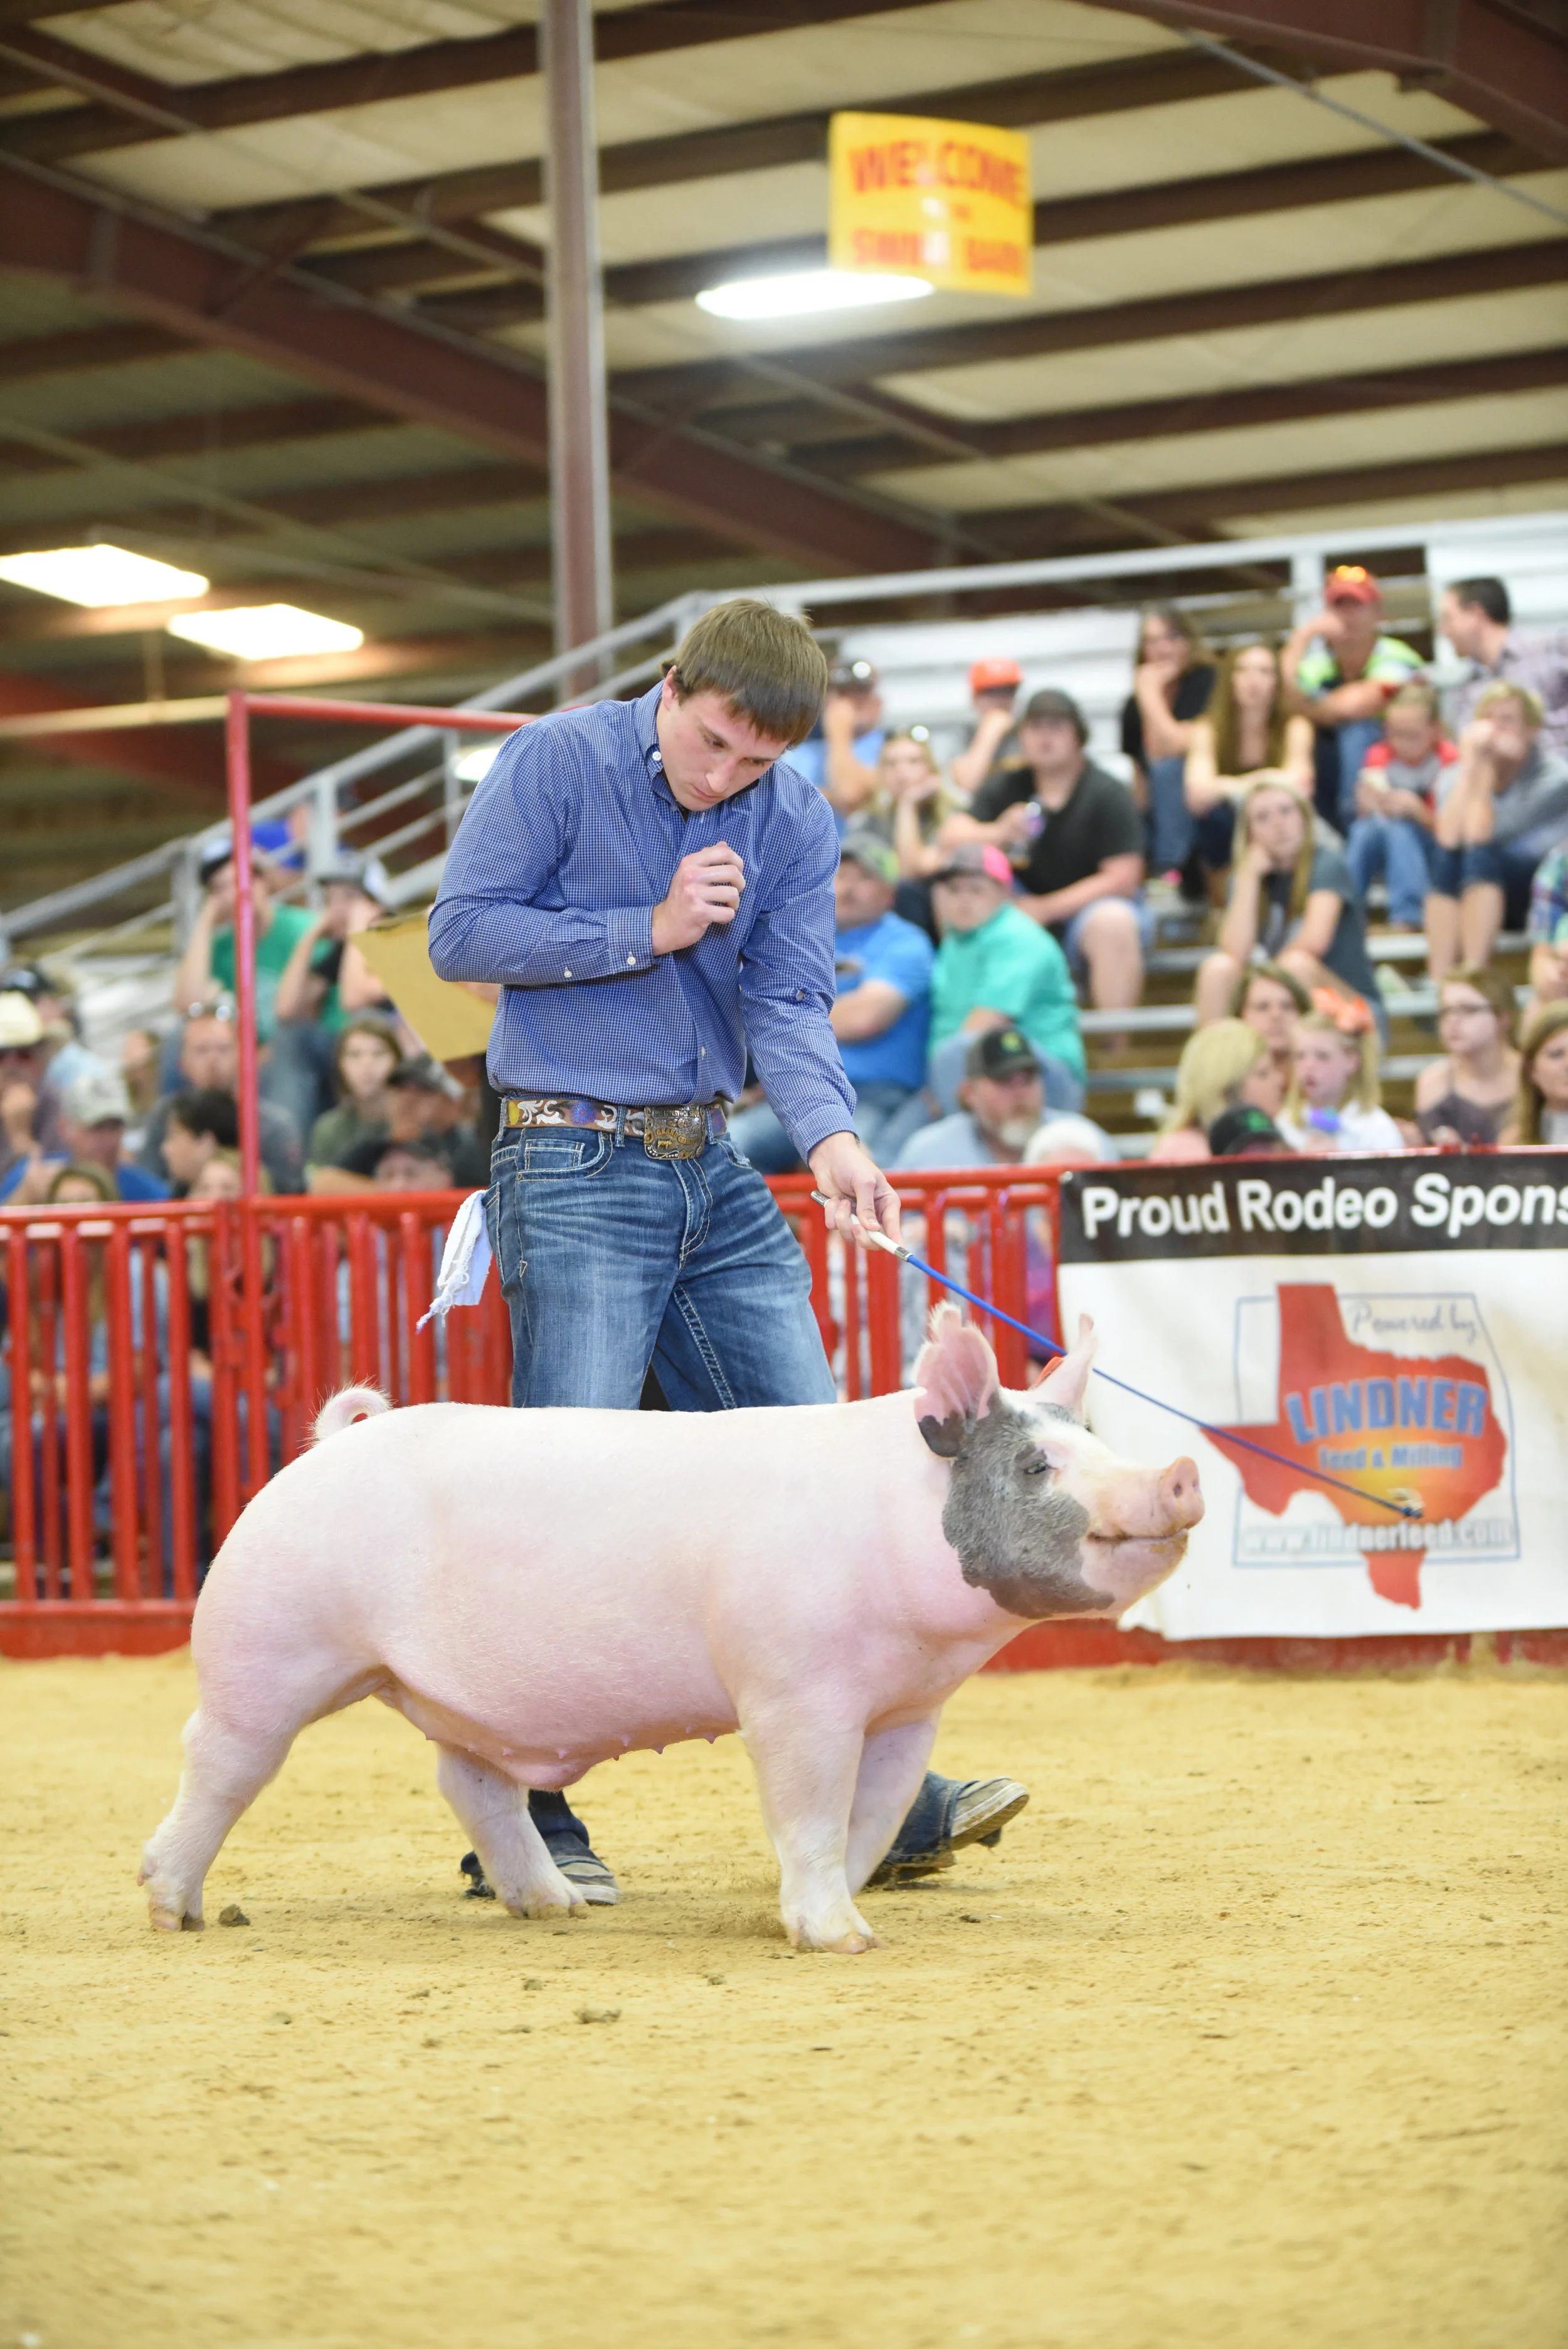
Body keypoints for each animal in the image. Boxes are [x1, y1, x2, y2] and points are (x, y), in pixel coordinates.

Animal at [140, 1307, 1200, 1955]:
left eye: (1096, 1440)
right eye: (1035, 1464)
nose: (1180, 1472)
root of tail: (328, 1445)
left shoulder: (908, 1713)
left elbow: (869, 1820)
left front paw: (852, 1918)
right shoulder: (791, 1693)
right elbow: (810, 1812)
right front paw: (840, 1940)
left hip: (453, 1698)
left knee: (471, 1783)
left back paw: (556, 1906)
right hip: (267, 1644)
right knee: (219, 1757)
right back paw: (172, 1909)